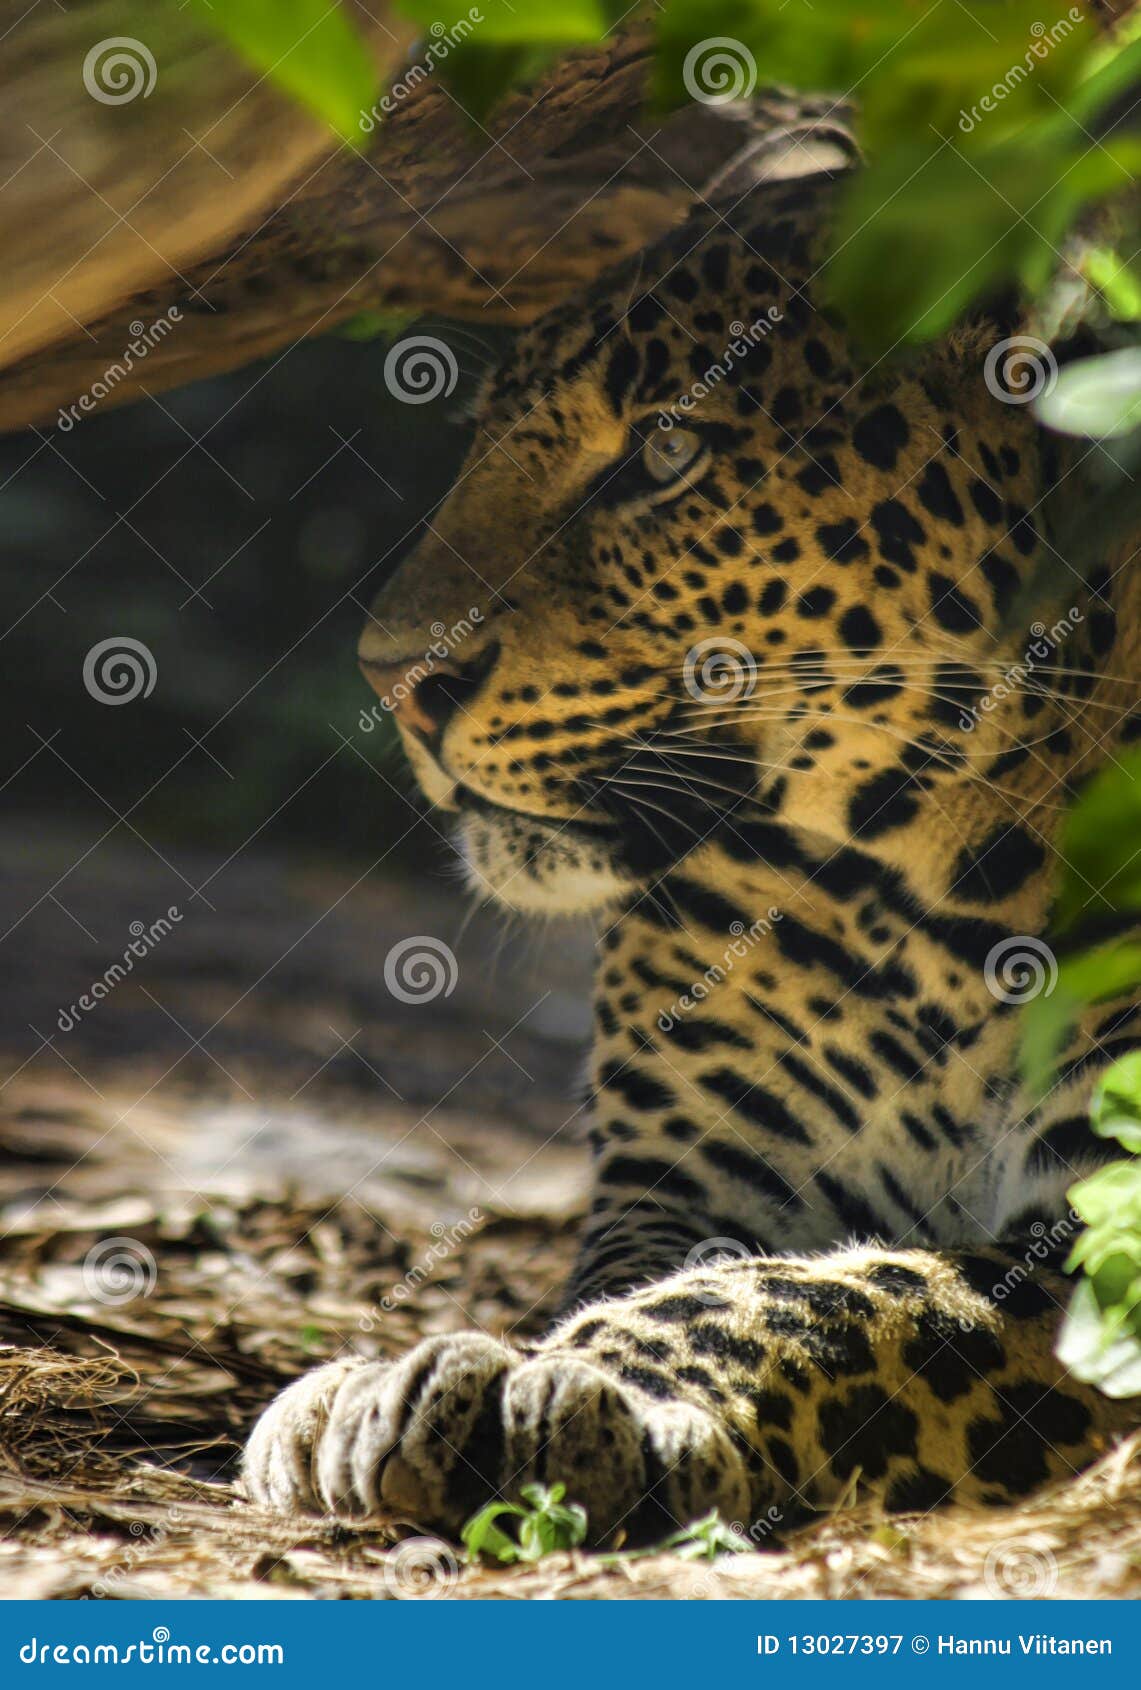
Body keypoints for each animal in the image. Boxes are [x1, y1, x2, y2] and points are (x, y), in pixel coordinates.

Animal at [244, 167, 1141, 1547]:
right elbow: (681, 1278)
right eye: (481, 437)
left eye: (665, 454)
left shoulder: (1107, 1215)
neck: (928, 886)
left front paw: (572, 1395)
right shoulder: (691, 1180)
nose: (393, 677)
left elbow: (839, 1294)